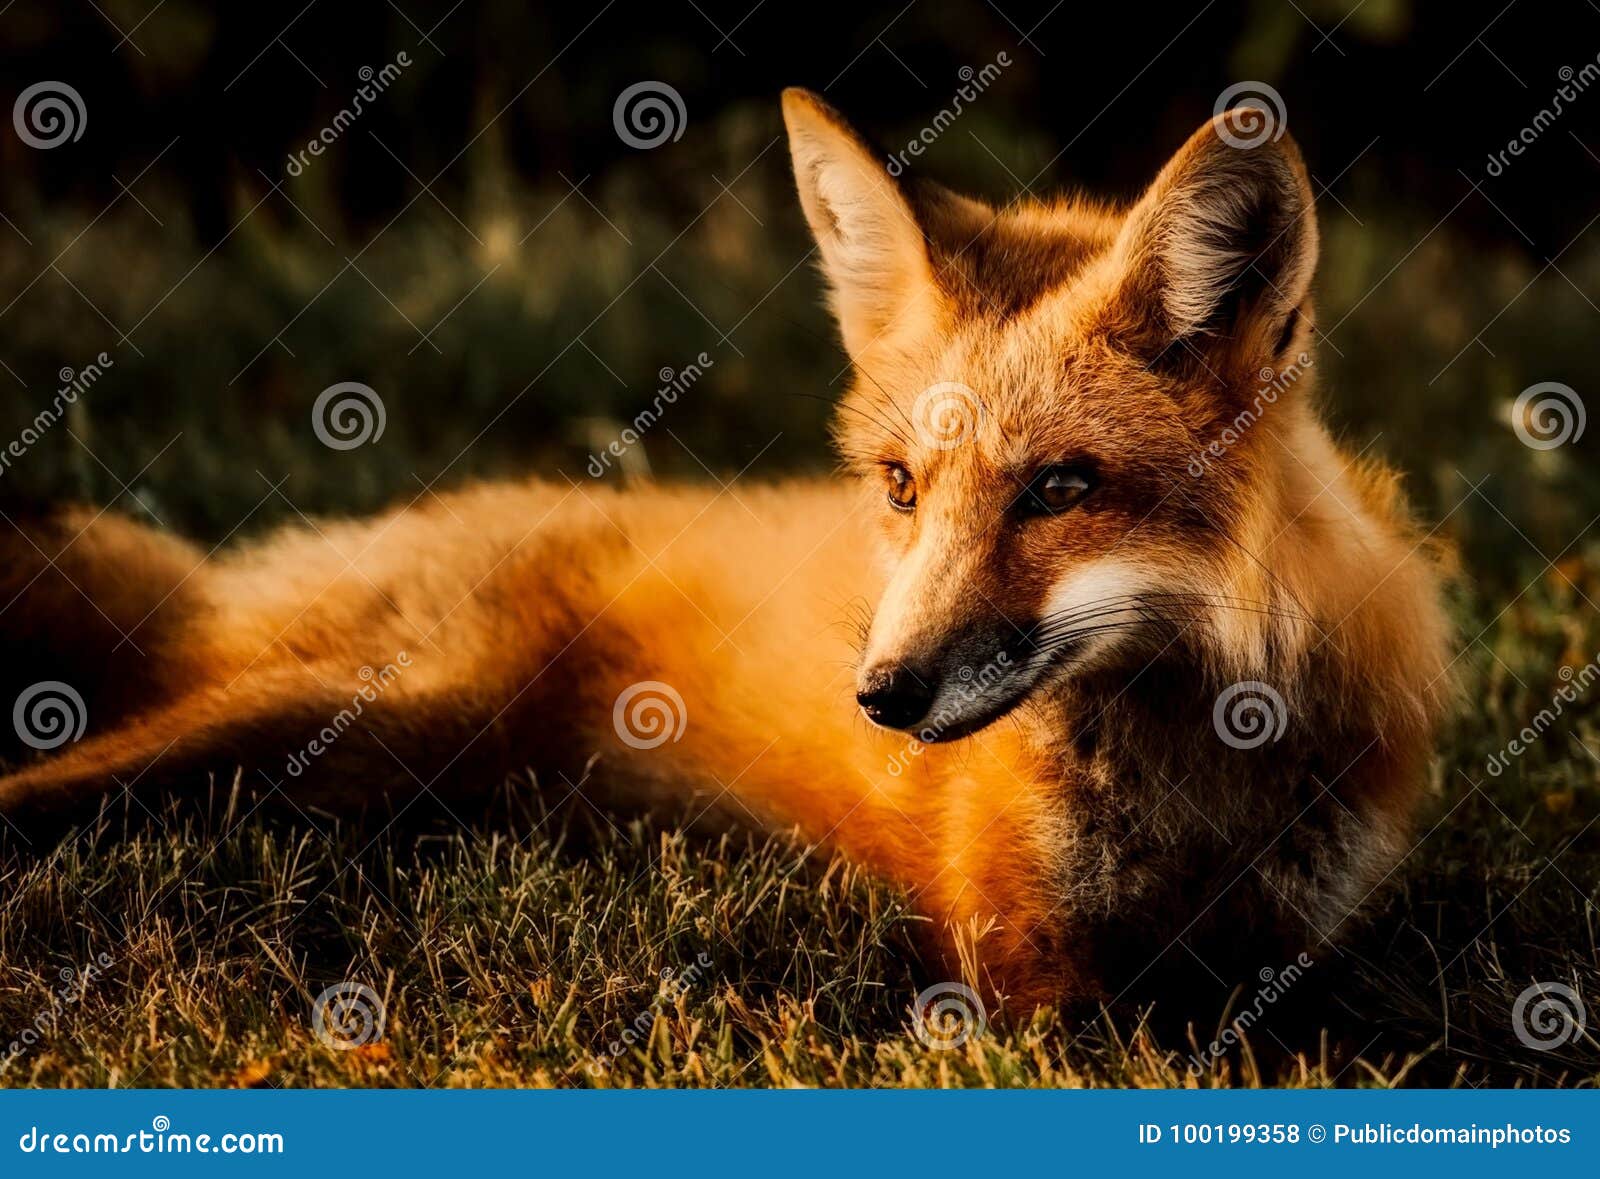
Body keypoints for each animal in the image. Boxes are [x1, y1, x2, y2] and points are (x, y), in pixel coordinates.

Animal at [0, 91, 1452, 1016]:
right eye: (902, 486)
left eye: (1058, 489)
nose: (880, 696)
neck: (1189, 780)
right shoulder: (1013, 957)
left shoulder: (1305, 956)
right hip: (346, 708)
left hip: (383, 762)